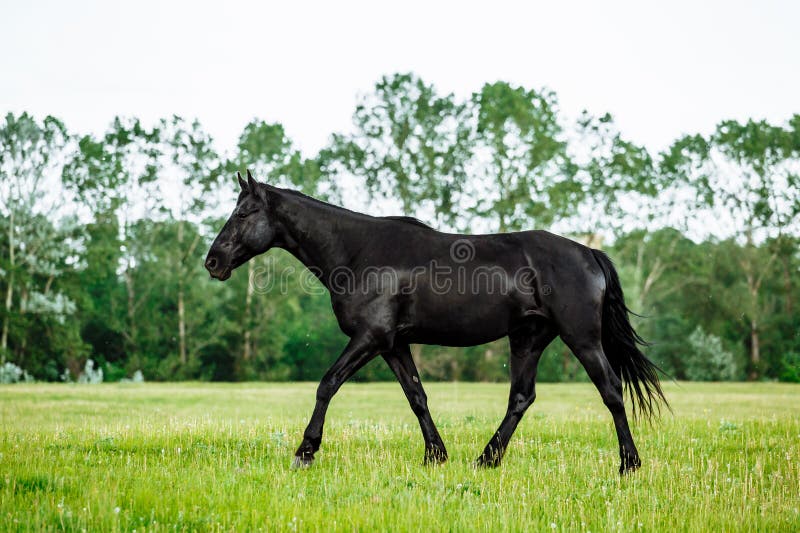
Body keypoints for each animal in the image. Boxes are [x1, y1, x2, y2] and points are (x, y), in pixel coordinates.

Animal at [204, 170, 667, 474]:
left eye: (244, 214)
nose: (213, 262)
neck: (358, 251)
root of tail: (588, 253)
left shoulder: (369, 338)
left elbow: (327, 384)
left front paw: (305, 451)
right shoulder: (393, 344)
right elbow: (417, 397)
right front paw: (436, 455)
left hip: (582, 338)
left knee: (611, 390)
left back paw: (629, 464)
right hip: (529, 338)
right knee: (521, 398)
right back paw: (485, 459)